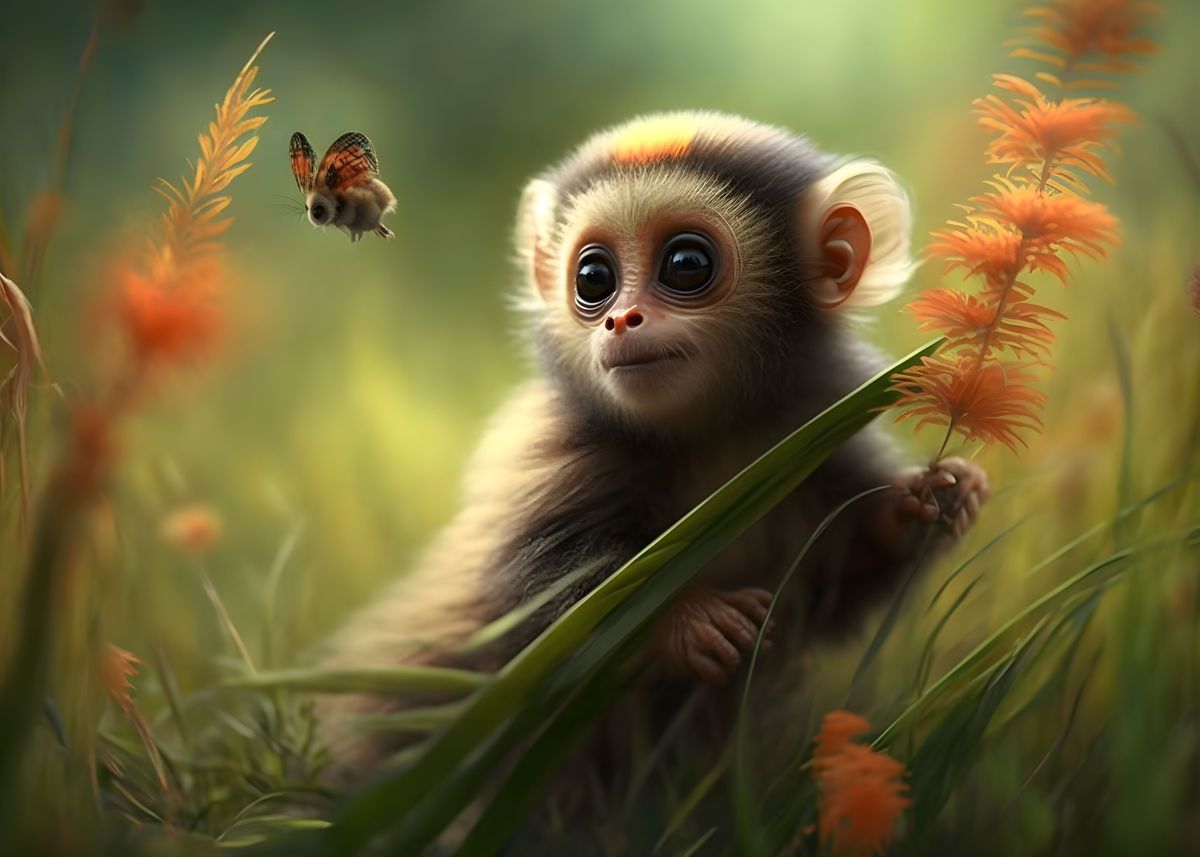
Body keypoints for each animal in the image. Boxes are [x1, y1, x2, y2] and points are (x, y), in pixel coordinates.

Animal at [311, 111, 989, 843]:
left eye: (686, 265)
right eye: (593, 277)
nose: (620, 318)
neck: (712, 436)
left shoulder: (819, 431)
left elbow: (833, 591)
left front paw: (926, 504)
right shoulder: (556, 451)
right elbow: (532, 602)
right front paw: (683, 621)